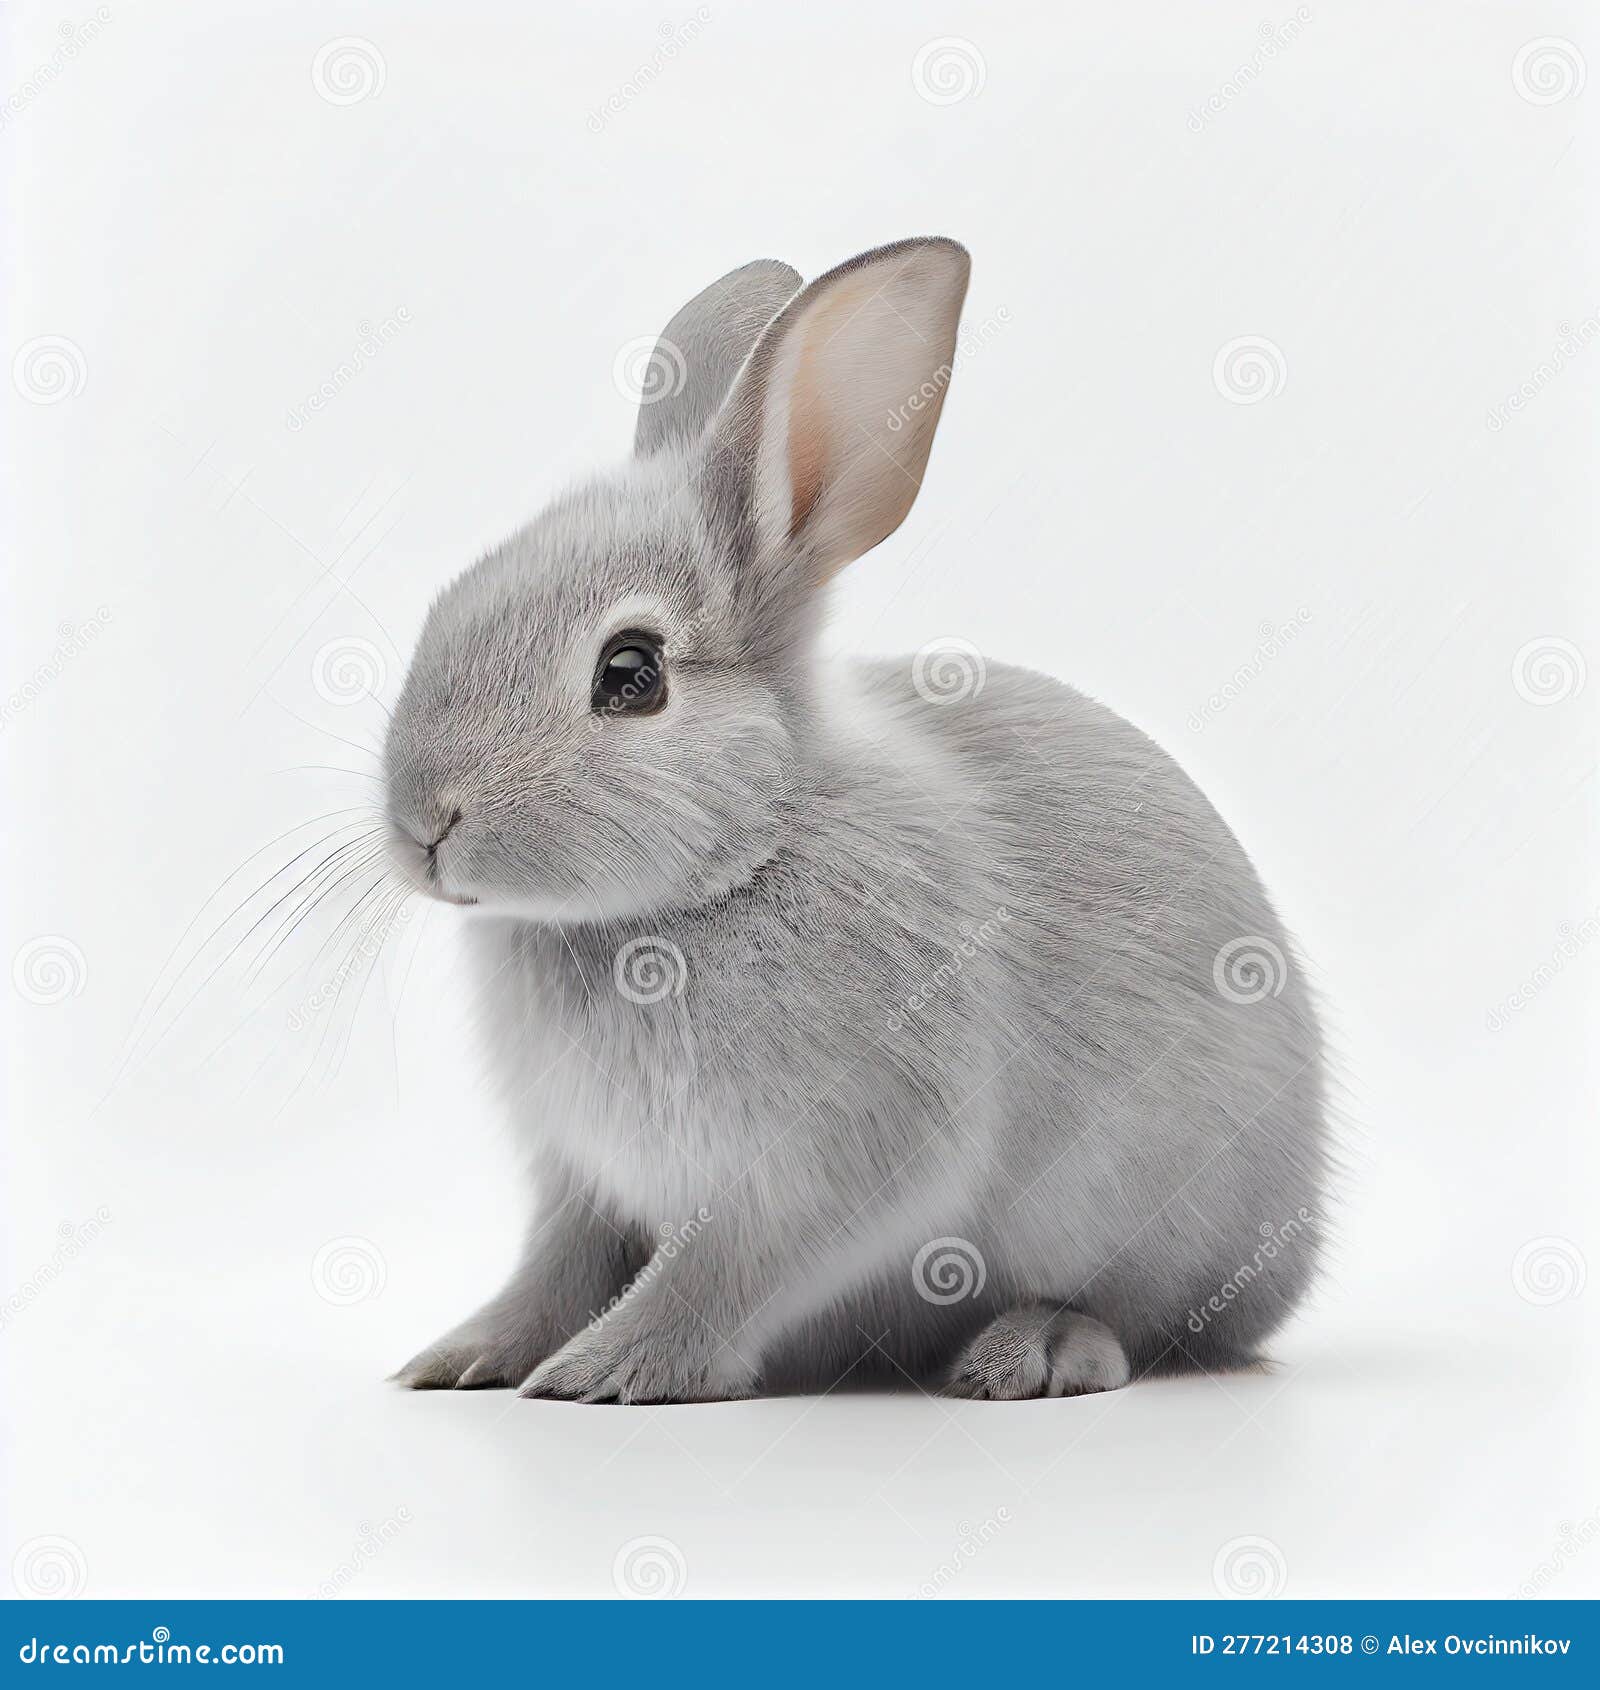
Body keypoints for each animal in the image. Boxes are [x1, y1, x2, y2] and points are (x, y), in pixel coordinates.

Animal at [386, 237, 1328, 1403]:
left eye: (632, 674)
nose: (419, 823)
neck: (742, 858)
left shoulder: (824, 1165)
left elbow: (718, 1276)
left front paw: (609, 1369)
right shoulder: (581, 1183)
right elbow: (552, 1273)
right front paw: (465, 1356)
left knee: (1153, 1325)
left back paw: (1032, 1351)